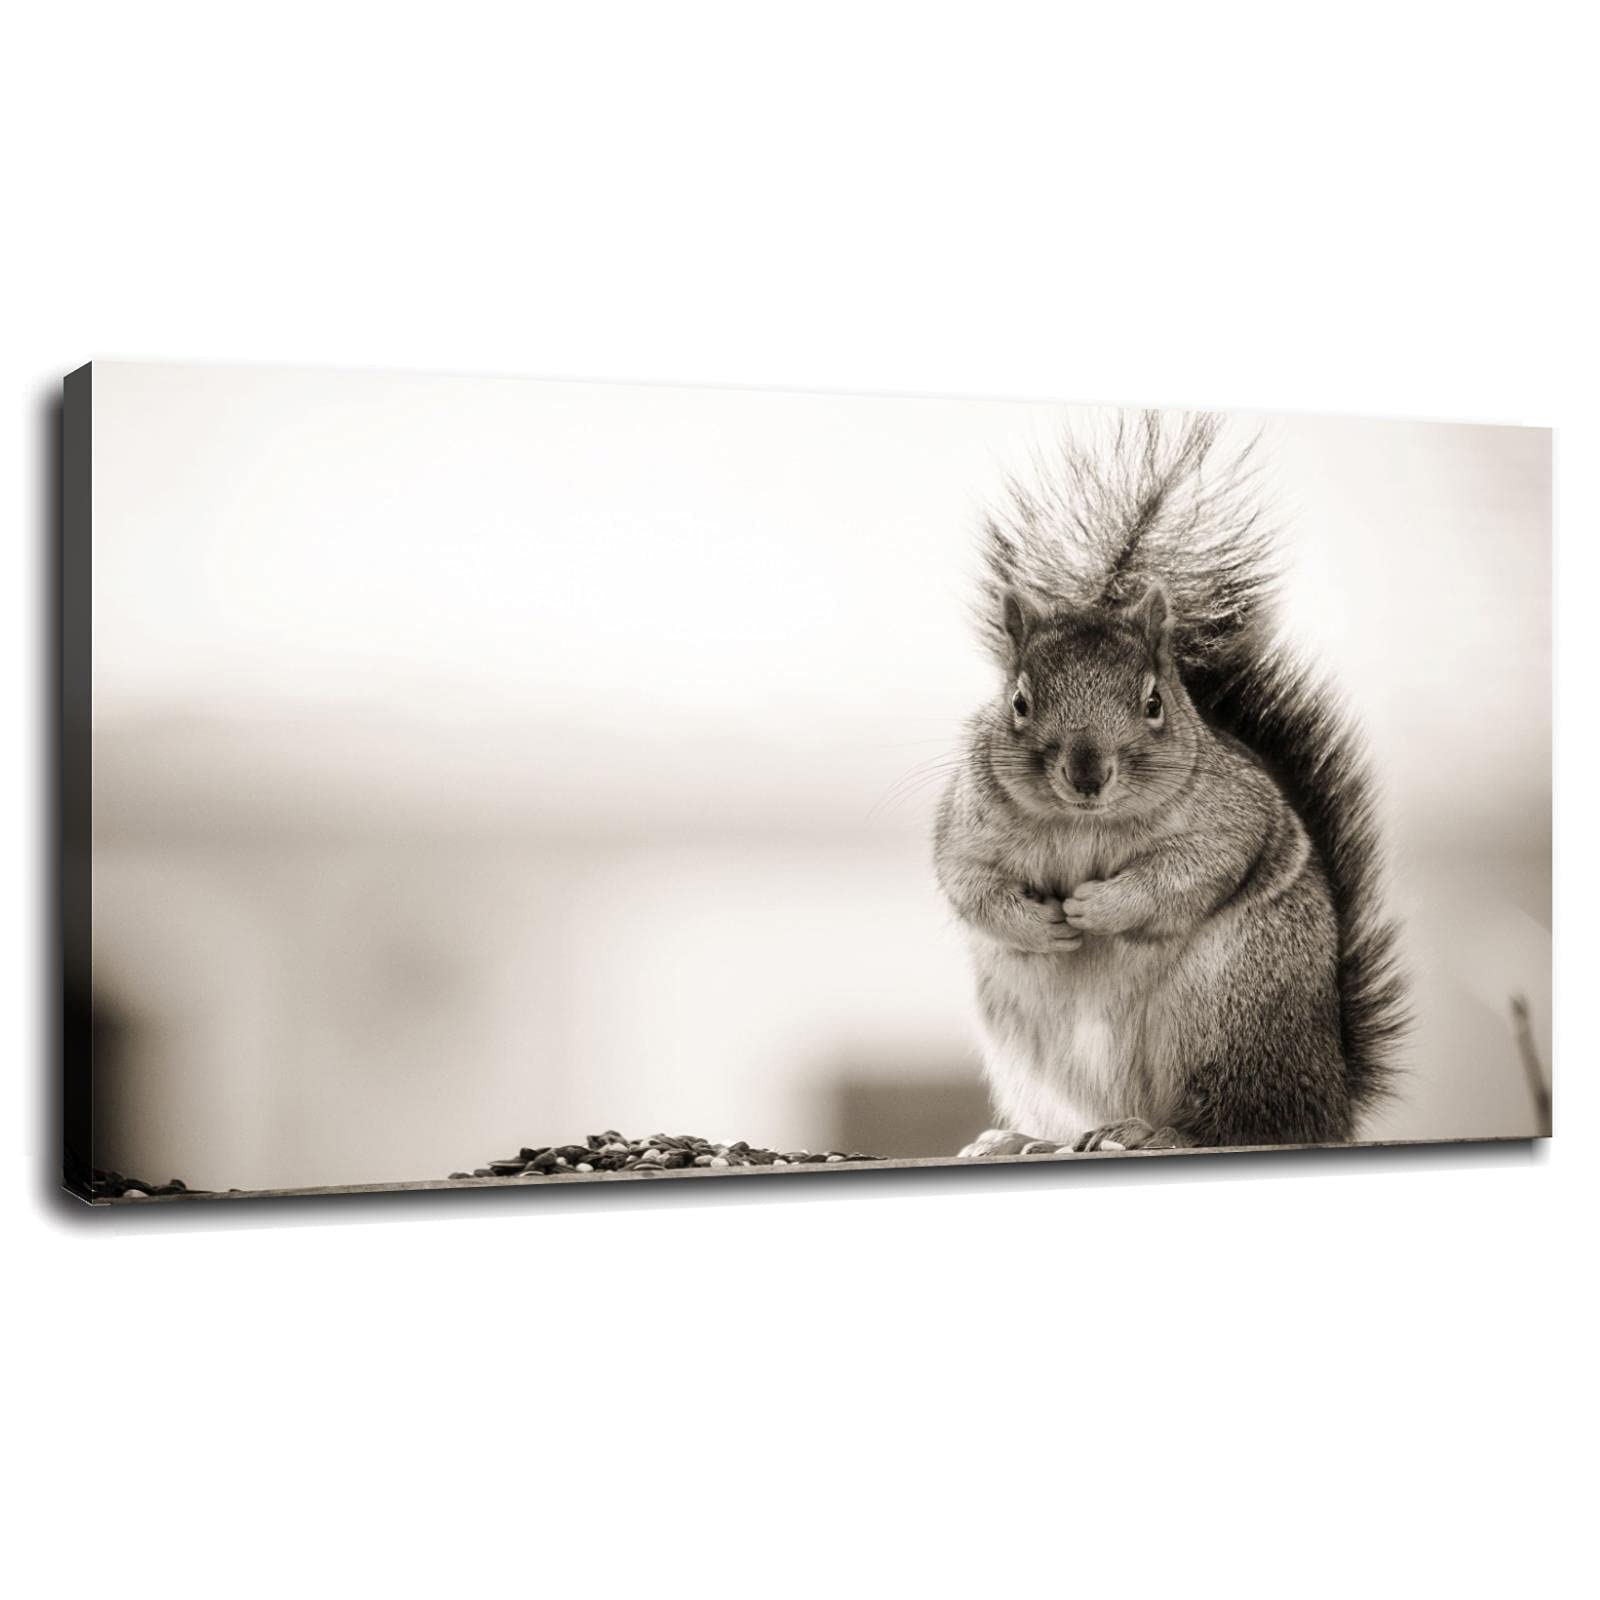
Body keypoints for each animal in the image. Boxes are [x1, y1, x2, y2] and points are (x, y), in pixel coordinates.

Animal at [933, 410, 1407, 1155]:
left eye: (1154, 703)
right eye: (1019, 702)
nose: (1087, 774)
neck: (1084, 823)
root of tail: (1331, 1099)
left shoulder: (1232, 818)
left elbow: (1186, 872)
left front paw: (1098, 908)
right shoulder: (966, 824)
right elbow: (969, 883)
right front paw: (1042, 924)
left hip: (1228, 1014)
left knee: (1244, 1124)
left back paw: (1163, 1133)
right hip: (1027, 1058)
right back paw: (1024, 1140)